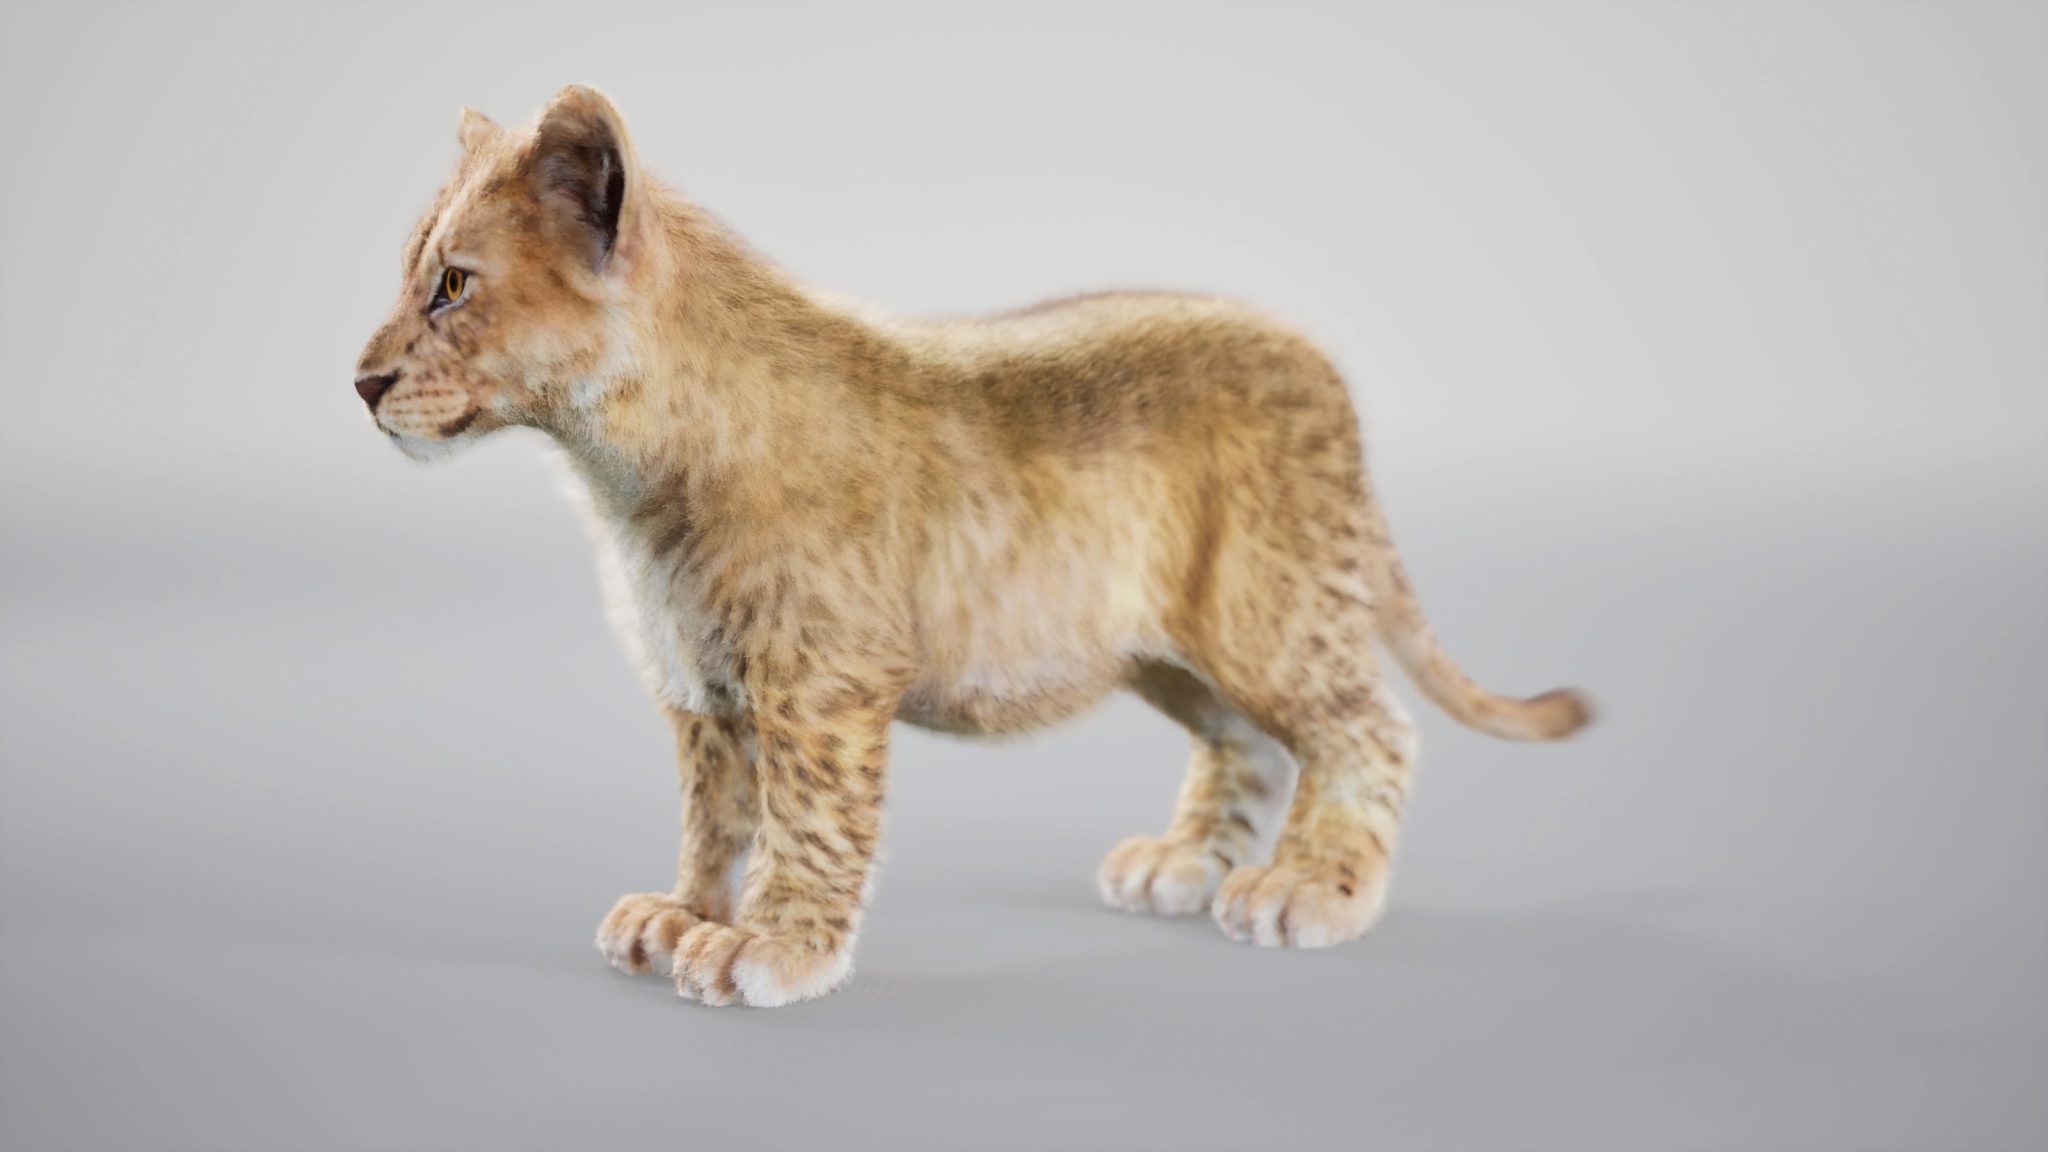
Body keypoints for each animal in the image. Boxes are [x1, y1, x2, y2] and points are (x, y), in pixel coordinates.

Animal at [353, 86, 1591, 1007]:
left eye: (452, 286)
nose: (361, 383)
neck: (619, 476)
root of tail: (1312, 355)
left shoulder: (821, 682)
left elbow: (806, 820)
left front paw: (771, 950)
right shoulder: (703, 690)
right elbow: (718, 817)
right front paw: (686, 916)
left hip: (1265, 613)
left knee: (1366, 731)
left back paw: (1309, 890)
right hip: (1170, 649)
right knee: (1251, 741)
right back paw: (1184, 866)